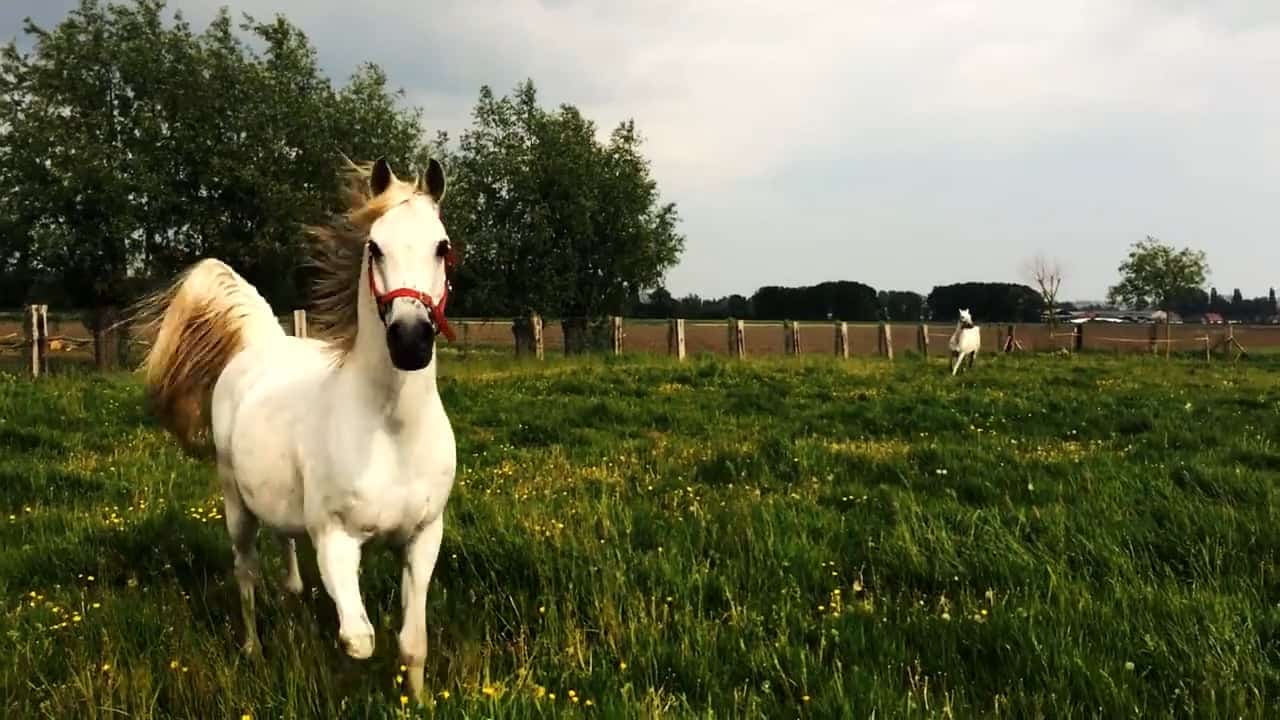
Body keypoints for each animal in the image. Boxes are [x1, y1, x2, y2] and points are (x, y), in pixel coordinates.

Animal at [132, 156, 458, 701]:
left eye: (442, 246)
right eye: (374, 247)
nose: (410, 341)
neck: (391, 432)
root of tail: (258, 344)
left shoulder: (422, 537)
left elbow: (413, 643)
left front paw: (419, 702)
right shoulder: (335, 538)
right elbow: (358, 640)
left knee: (283, 547)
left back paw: (290, 594)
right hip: (235, 504)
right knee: (245, 571)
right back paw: (253, 648)